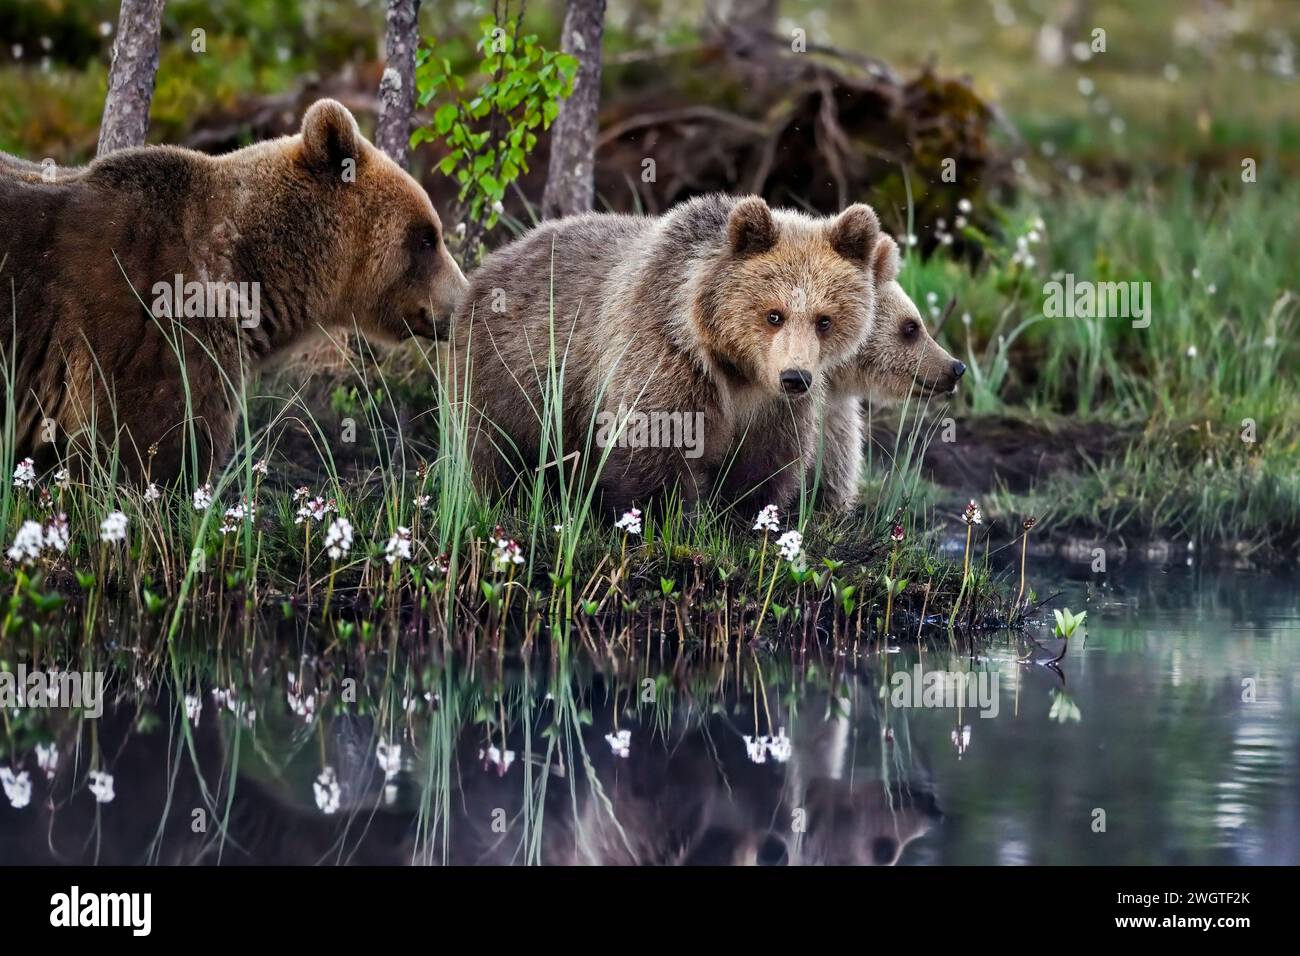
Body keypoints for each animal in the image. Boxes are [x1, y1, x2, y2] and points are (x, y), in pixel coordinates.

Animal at [446, 193, 888, 517]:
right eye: (773, 314)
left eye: (824, 320)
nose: (795, 377)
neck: (735, 368)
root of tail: (495, 259)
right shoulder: (666, 358)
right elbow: (655, 445)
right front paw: (667, 518)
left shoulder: (772, 408)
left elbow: (763, 463)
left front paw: (744, 517)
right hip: (505, 373)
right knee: (501, 449)